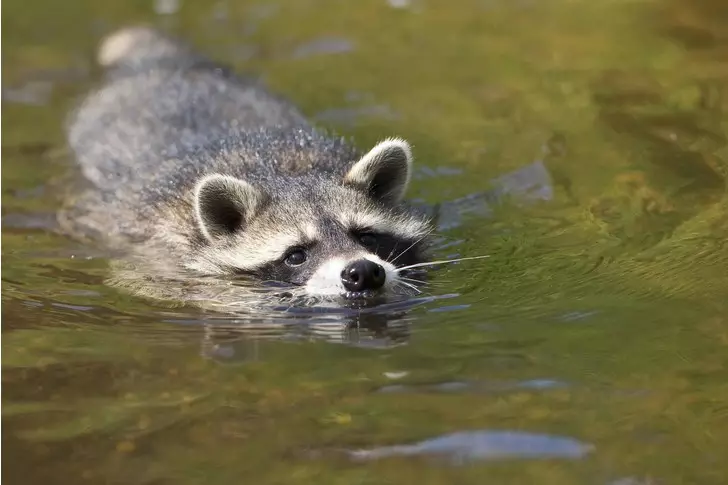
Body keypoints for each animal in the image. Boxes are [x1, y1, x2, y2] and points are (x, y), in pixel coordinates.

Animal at [59, 26, 436, 304]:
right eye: (295, 255)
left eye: (366, 236)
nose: (363, 272)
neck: (282, 173)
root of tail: (163, 65)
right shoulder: (158, 248)